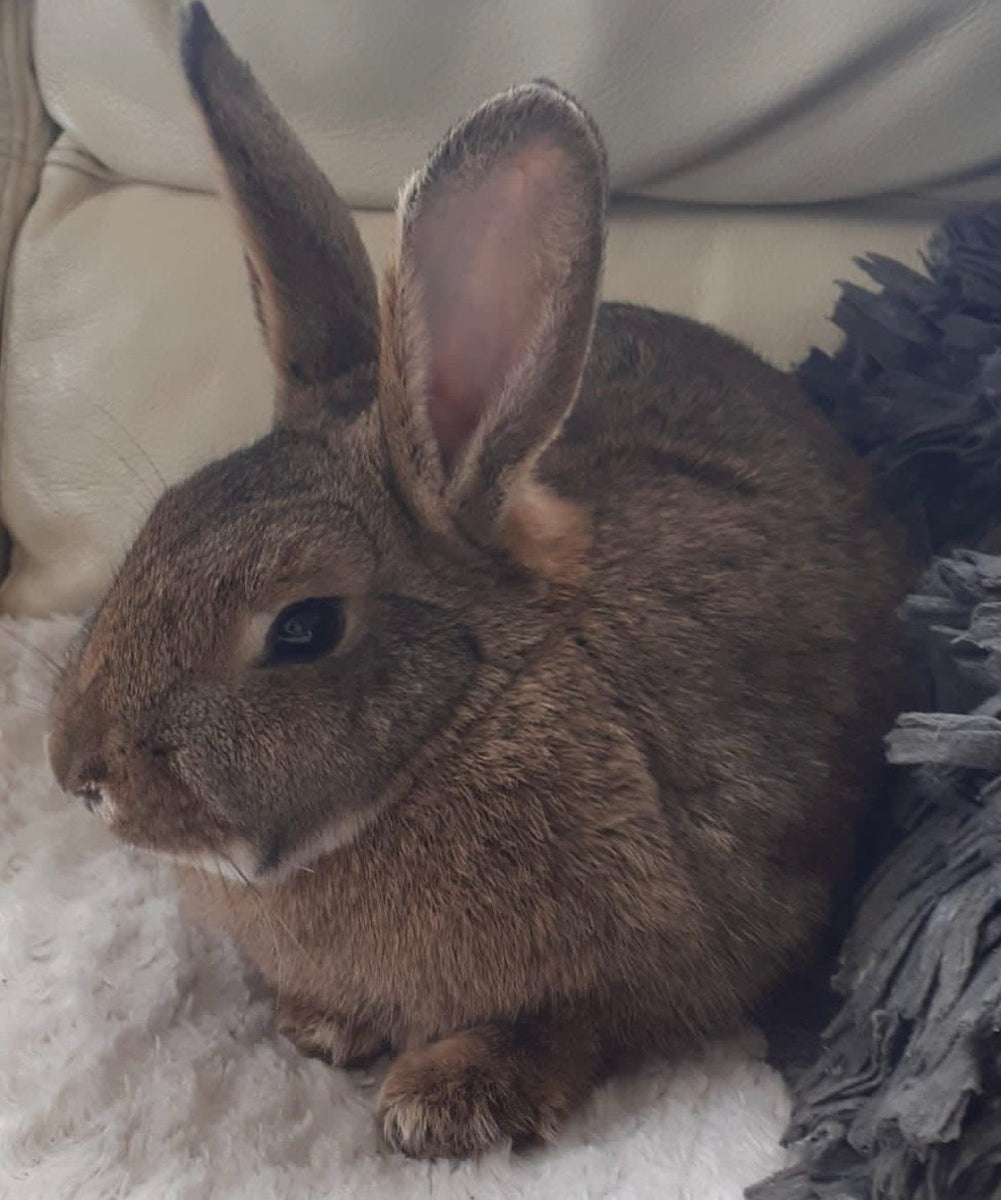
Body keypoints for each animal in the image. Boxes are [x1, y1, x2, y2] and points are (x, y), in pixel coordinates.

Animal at [48, 1, 910, 1161]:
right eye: (157, 526)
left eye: (303, 627)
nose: (76, 772)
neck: (472, 708)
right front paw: (325, 1023)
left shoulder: (673, 951)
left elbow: (573, 1022)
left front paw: (449, 1099)